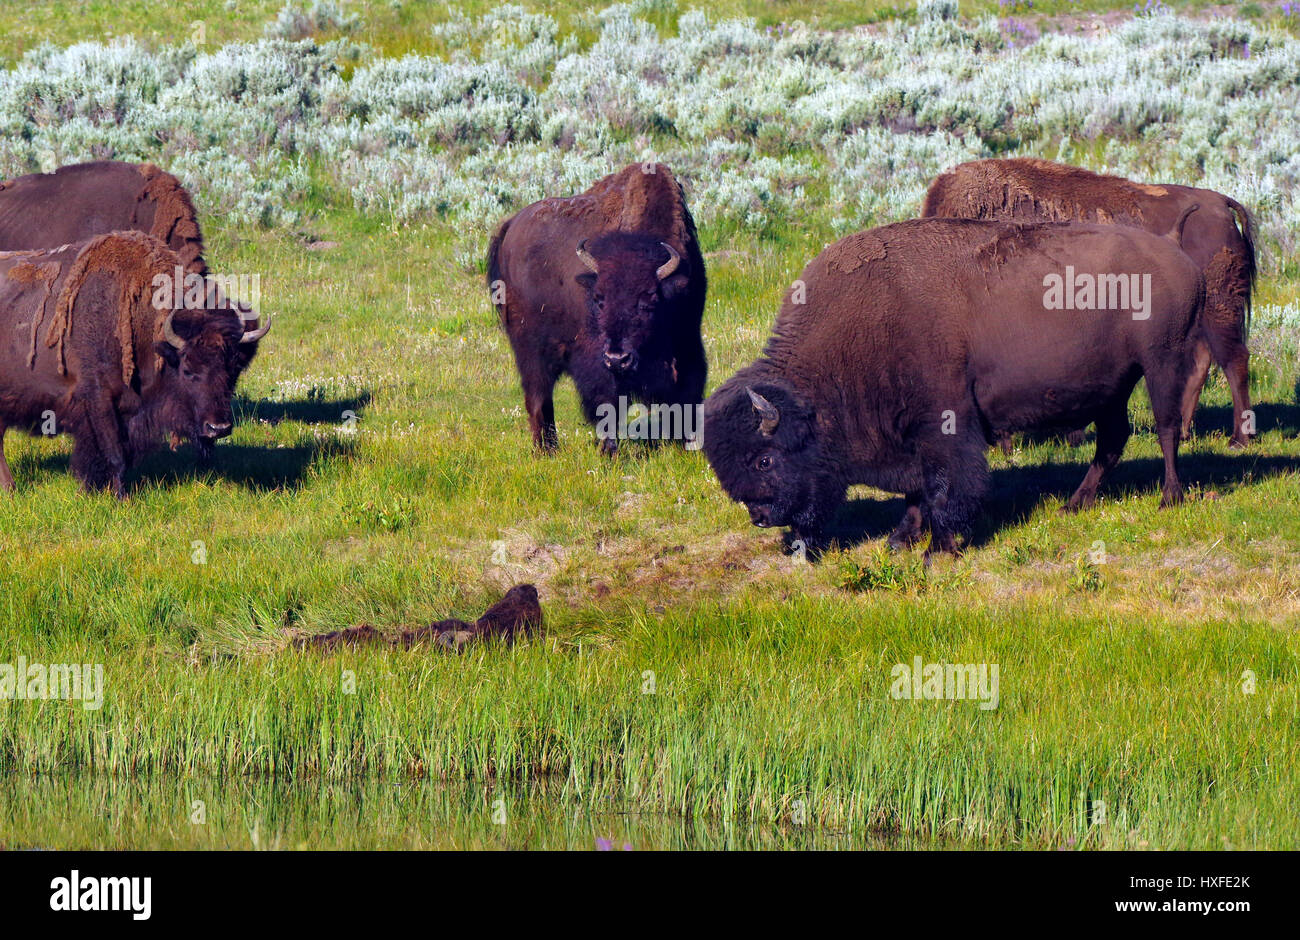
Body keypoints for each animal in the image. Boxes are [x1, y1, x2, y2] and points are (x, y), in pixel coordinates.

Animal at [0, 231, 269, 496]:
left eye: (234, 369)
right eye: (187, 370)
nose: (218, 427)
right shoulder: (98, 399)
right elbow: (114, 455)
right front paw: (118, 497)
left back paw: (10, 489)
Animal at [487, 163, 707, 453]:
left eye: (648, 301)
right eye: (599, 299)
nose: (618, 358)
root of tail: (509, 227)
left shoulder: (688, 341)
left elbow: (687, 396)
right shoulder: (596, 361)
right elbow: (607, 405)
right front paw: (610, 453)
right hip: (530, 349)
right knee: (538, 397)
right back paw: (546, 451)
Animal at [702, 217, 1204, 558]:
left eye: (764, 459)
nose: (762, 517)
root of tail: (1178, 255)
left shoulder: (944, 425)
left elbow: (946, 486)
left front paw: (938, 547)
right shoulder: (907, 434)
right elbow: (917, 491)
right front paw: (900, 540)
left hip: (1161, 362)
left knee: (1166, 428)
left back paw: (1170, 498)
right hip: (1112, 388)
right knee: (1112, 440)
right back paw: (1073, 505)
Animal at [923, 158, 1256, 447]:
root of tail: (1220, 204)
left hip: (1219, 308)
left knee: (1234, 360)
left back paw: (1239, 439)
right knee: (1202, 362)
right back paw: (1186, 431)